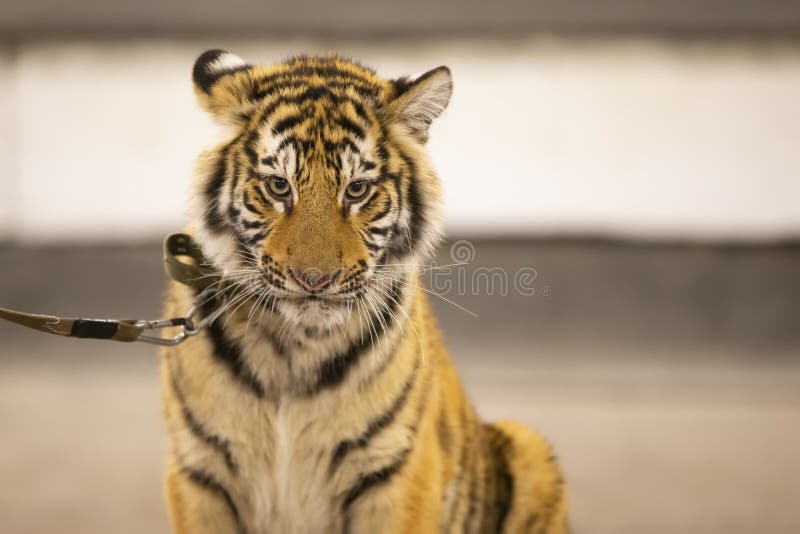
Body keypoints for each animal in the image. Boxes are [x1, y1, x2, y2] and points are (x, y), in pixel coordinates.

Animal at [161, 49, 568, 534]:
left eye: (356, 189)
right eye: (279, 186)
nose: (314, 280)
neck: (296, 351)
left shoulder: (395, 473)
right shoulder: (198, 472)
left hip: (530, 450)